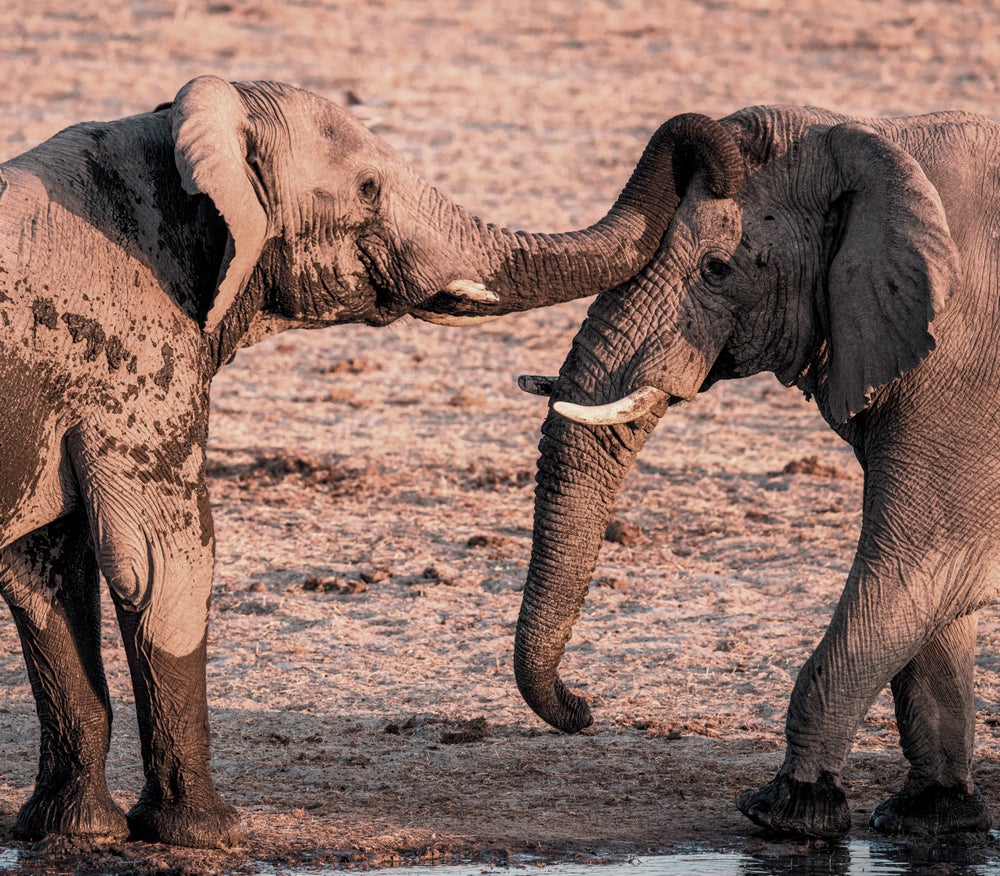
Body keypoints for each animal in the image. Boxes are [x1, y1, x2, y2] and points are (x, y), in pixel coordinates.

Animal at [0, 75, 707, 848]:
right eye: (368, 188)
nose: (587, 705)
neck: (172, 142)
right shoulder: (133, 360)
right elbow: (159, 564)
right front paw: (210, 836)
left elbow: (45, 574)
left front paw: (76, 834)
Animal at [514, 105, 1000, 840]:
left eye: (716, 268)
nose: (584, 708)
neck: (874, 140)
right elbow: (938, 594)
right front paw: (931, 817)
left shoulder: (965, 373)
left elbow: (922, 563)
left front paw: (786, 814)